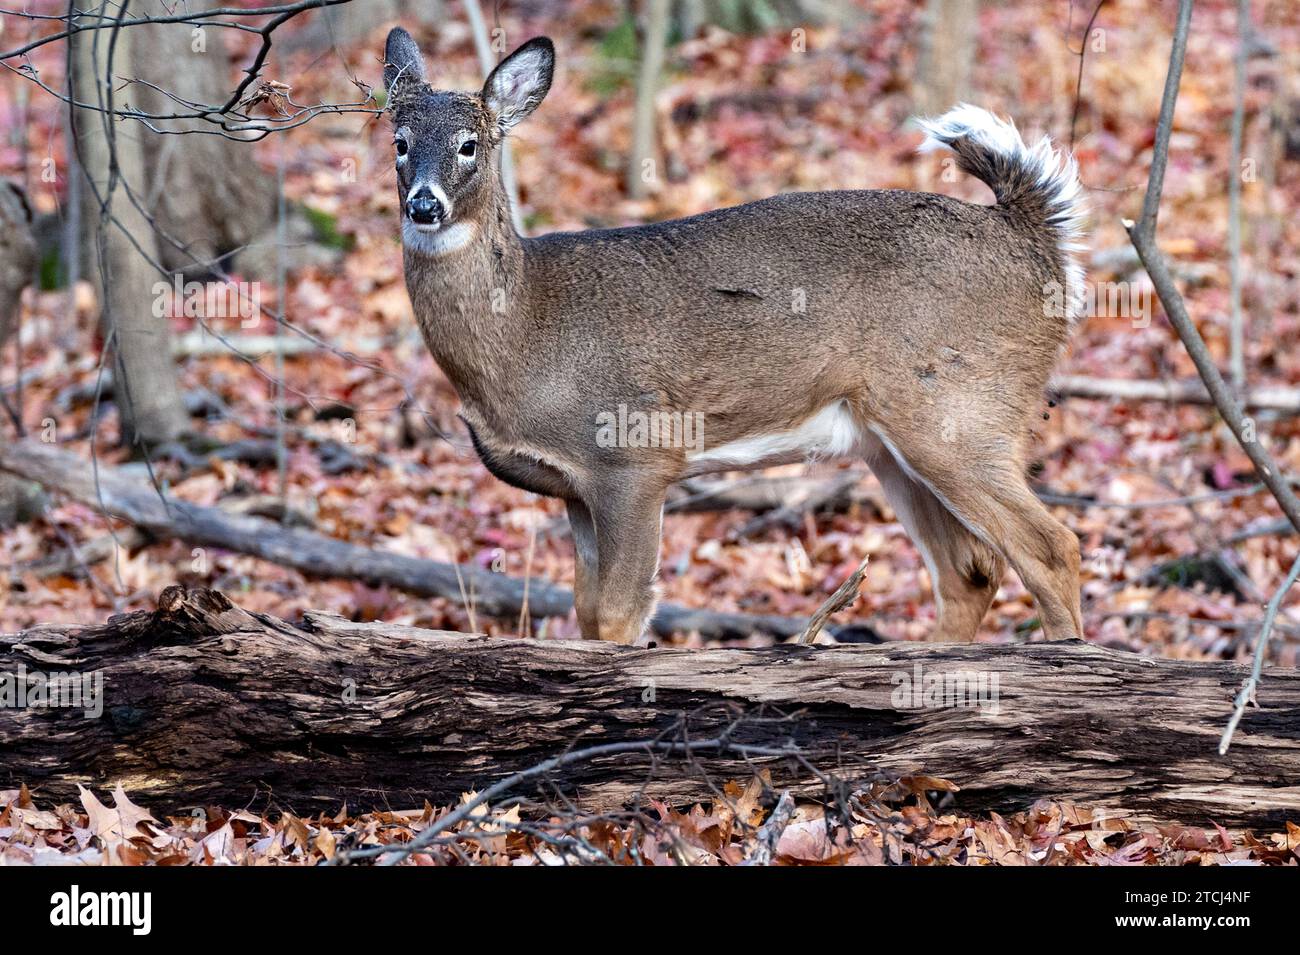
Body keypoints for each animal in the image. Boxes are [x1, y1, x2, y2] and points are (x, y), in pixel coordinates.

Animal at [383, 28, 1087, 647]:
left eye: (470, 145)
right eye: (399, 140)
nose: (424, 205)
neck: (526, 329)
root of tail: (1035, 242)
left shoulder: (635, 454)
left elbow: (619, 615)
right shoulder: (576, 489)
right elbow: (587, 613)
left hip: (959, 407)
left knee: (1051, 547)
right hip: (889, 440)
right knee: (969, 571)